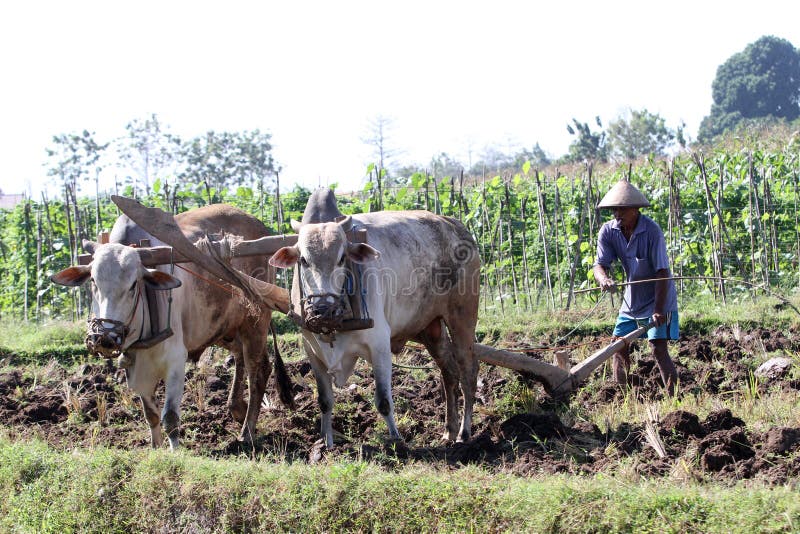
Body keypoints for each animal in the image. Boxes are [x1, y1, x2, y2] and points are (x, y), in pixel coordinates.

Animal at [51, 204, 293, 449]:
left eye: (133, 285)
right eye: (93, 282)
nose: (105, 337)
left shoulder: (176, 360)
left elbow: (170, 417)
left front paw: (175, 450)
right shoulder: (136, 366)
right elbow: (151, 415)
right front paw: (155, 447)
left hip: (256, 322)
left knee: (258, 372)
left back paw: (247, 432)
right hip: (226, 329)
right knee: (240, 357)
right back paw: (236, 408)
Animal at [269, 189, 480, 447]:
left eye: (342, 258)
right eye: (303, 260)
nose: (323, 309)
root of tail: (457, 225)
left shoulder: (379, 345)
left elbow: (383, 401)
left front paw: (397, 441)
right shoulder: (312, 350)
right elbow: (325, 401)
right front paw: (326, 443)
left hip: (463, 319)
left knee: (468, 372)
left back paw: (464, 432)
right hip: (432, 328)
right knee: (449, 372)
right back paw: (449, 430)